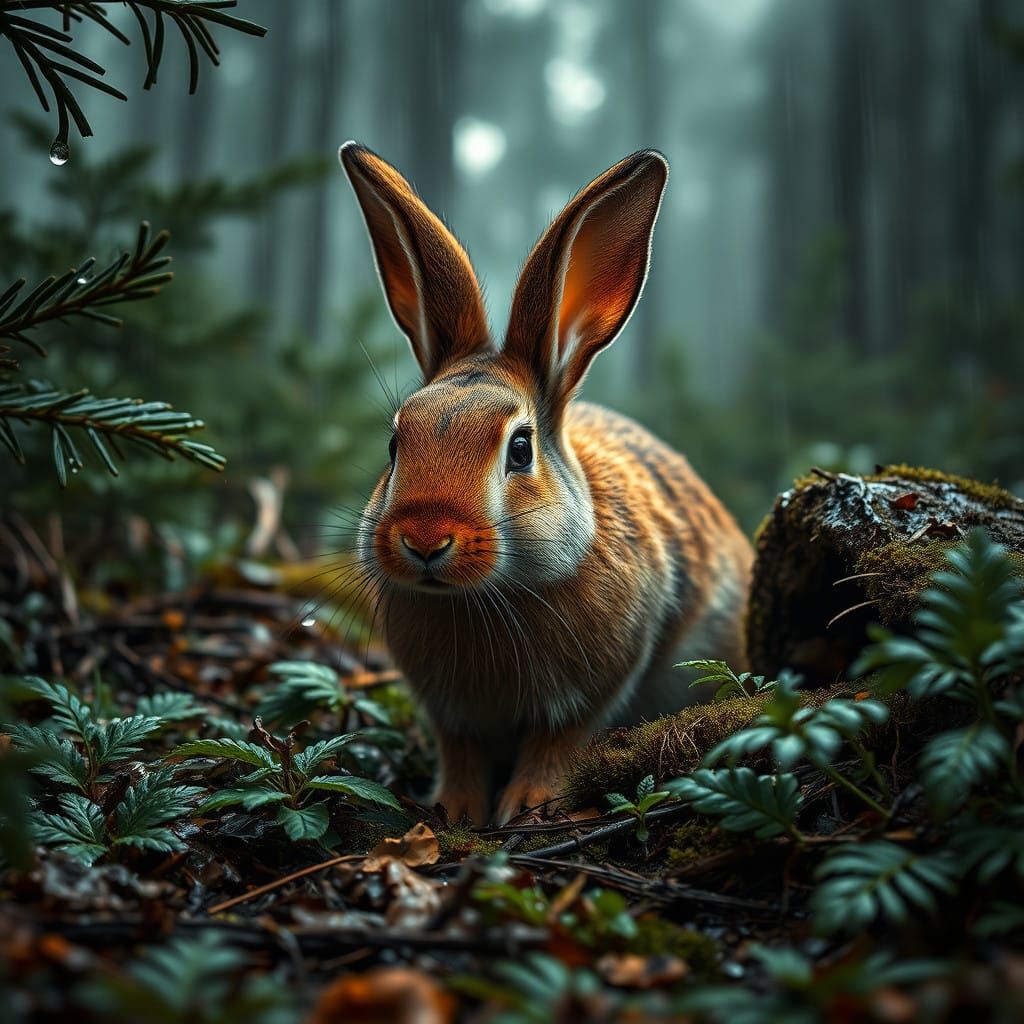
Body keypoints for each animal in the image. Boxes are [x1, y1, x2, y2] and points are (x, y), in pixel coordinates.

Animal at [338, 142, 753, 825]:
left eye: (520, 448)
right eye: (396, 443)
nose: (423, 540)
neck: (486, 596)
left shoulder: (596, 687)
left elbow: (559, 739)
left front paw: (527, 806)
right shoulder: (451, 714)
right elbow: (461, 751)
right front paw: (455, 810)